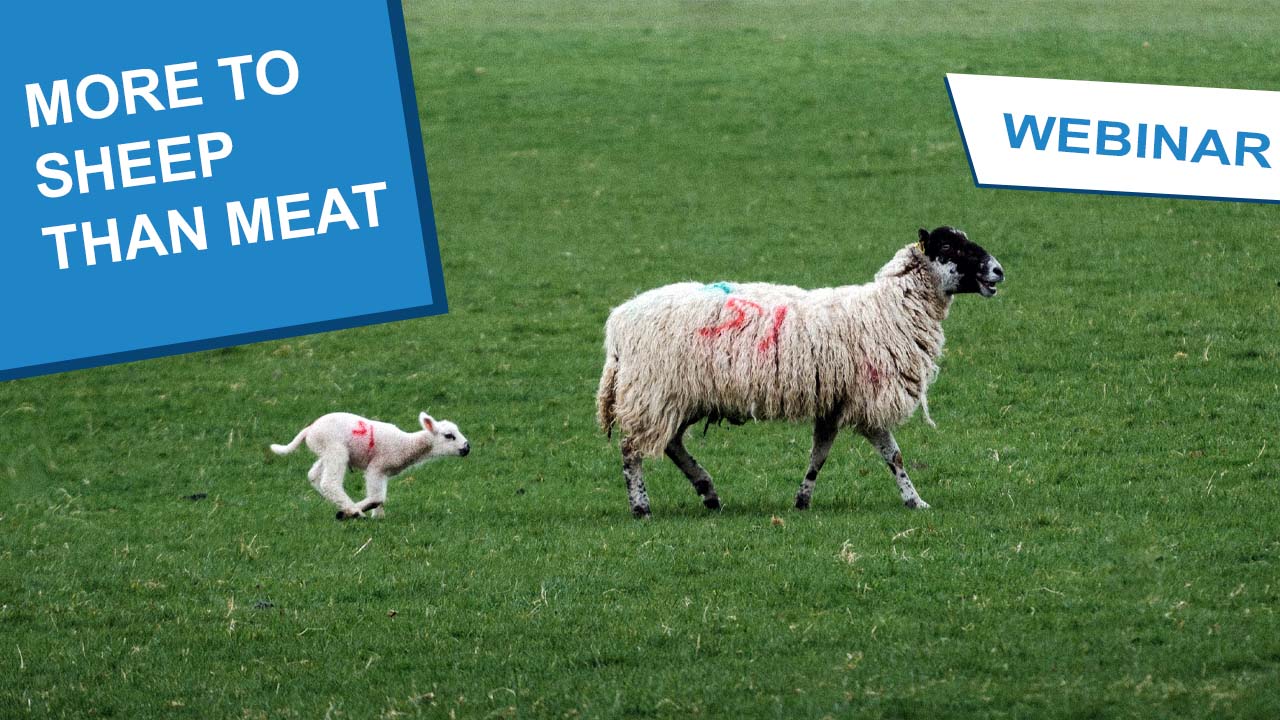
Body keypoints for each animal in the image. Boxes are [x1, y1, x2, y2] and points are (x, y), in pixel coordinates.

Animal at [270, 411, 470, 519]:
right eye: (449, 436)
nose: (467, 447)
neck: (405, 445)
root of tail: (309, 430)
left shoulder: (383, 472)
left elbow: (380, 497)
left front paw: (379, 516)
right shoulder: (377, 467)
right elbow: (377, 497)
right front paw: (356, 512)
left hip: (324, 451)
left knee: (314, 476)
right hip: (335, 448)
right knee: (330, 483)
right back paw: (353, 511)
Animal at [596, 226, 1004, 517]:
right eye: (950, 248)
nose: (998, 271)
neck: (888, 308)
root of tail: (618, 322)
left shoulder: (834, 403)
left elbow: (822, 455)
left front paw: (803, 499)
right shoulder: (865, 398)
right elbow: (893, 455)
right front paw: (914, 500)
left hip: (677, 395)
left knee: (671, 443)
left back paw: (707, 491)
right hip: (655, 391)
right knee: (632, 450)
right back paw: (642, 507)